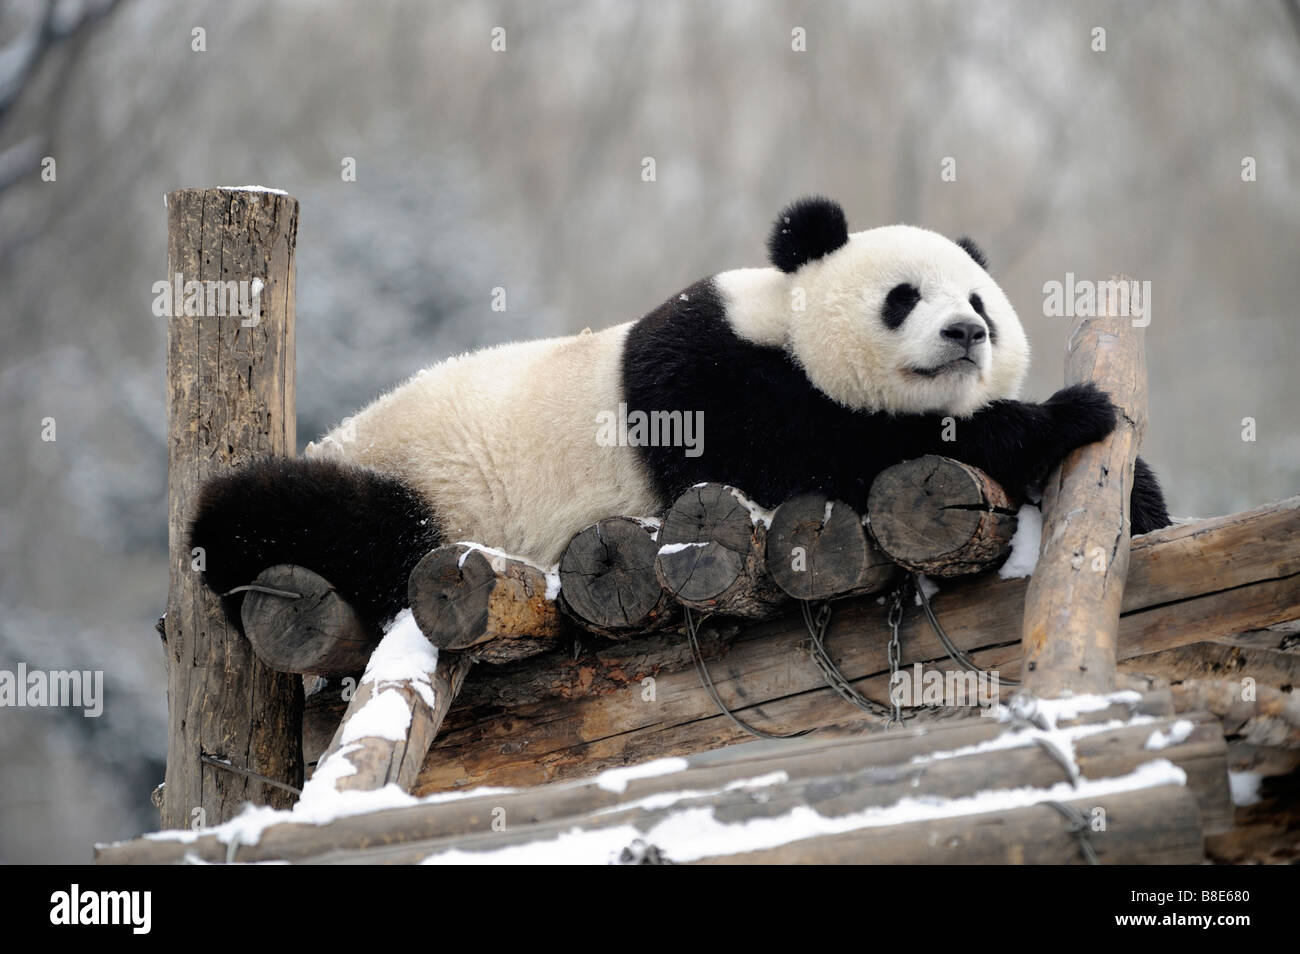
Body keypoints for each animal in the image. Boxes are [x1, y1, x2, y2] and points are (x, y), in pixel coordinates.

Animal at [192, 196, 1170, 633]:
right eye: (903, 298)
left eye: (979, 301)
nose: (965, 334)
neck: (778, 321)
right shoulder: (707, 381)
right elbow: (818, 453)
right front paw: (1067, 414)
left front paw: (1142, 500)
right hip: (404, 476)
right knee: (290, 515)